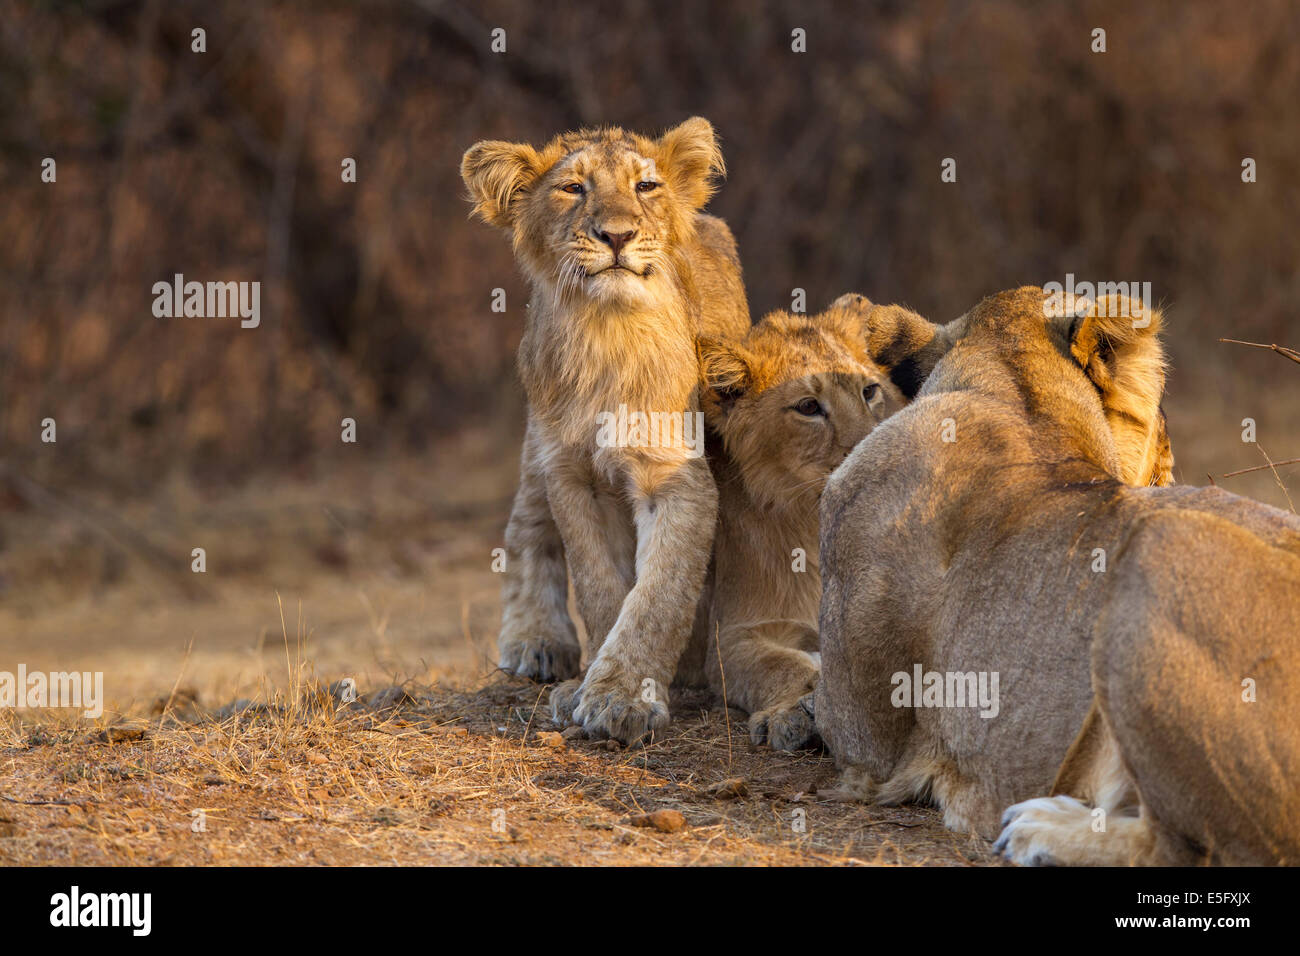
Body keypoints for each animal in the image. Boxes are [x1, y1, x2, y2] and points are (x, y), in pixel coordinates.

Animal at [460, 118, 750, 743]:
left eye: (646, 185)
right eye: (573, 188)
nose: (617, 236)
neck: (606, 330)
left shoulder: (675, 477)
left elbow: (657, 595)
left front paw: (623, 697)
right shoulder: (572, 475)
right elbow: (599, 589)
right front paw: (593, 683)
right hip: (536, 443)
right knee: (526, 521)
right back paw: (536, 641)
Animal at [695, 296, 908, 750]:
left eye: (869, 391)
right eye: (809, 407)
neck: (813, 524)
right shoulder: (733, 636)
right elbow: (785, 666)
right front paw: (792, 714)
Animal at [817, 287, 1298, 863]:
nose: (1170, 465)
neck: (1023, 404)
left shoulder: (866, 745)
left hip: (1161, 543)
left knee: (1181, 847)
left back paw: (1038, 829)